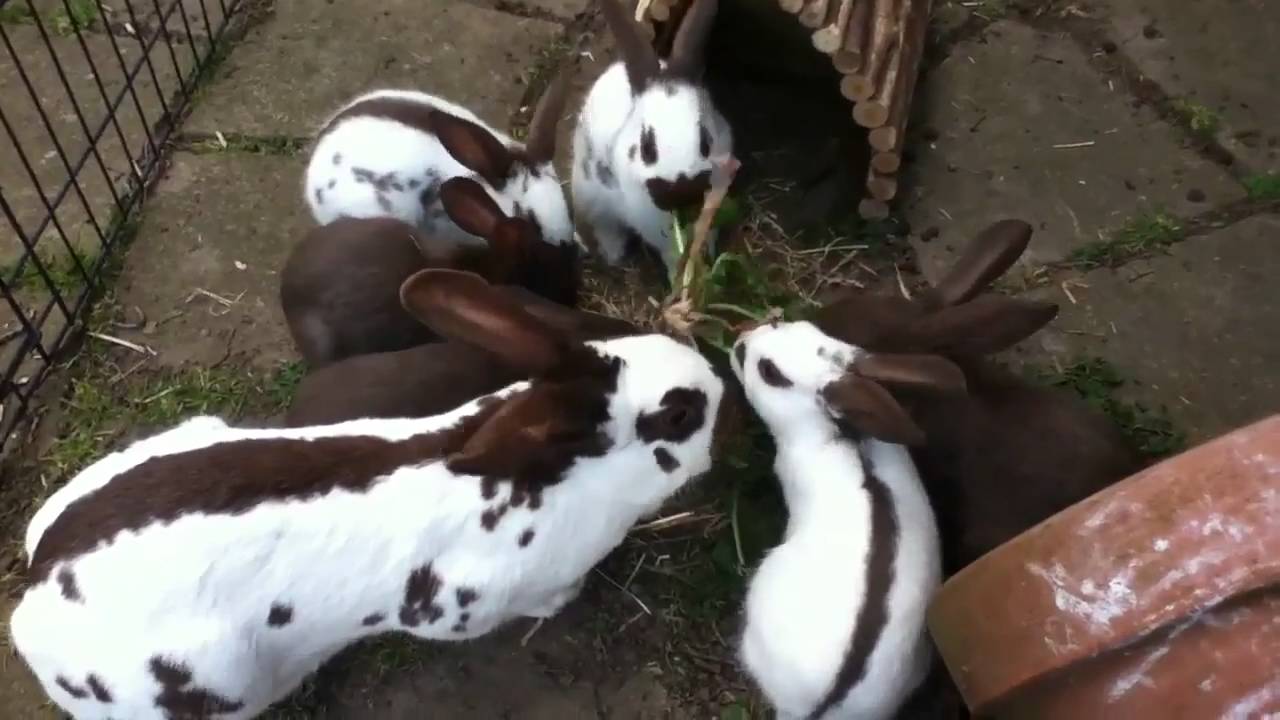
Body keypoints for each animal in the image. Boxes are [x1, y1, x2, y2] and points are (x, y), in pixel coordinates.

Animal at [572, 0, 734, 276]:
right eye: (647, 148)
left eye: (706, 141)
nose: (682, 189)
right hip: (589, 193)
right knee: (604, 227)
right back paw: (614, 255)